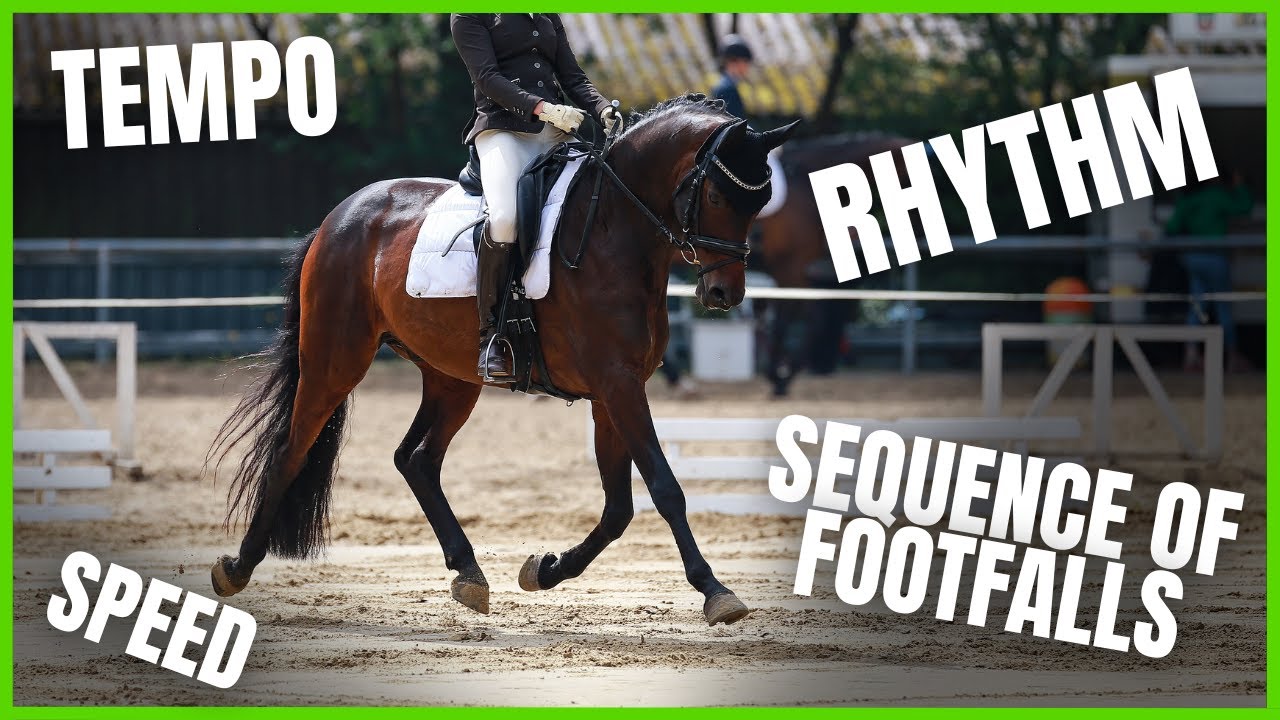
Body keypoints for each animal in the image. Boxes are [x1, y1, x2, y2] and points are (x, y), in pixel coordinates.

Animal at [207, 94, 800, 626]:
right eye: (718, 196)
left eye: (760, 201)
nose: (724, 294)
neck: (616, 232)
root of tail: (338, 217)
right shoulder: (617, 385)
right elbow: (664, 488)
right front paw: (715, 591)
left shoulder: (614, 391)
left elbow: (618, 508)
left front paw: (546, 569)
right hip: (336, 360)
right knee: (292, 449)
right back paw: (237, 567)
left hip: (451, 377)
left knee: (415, 459)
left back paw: (468, 573)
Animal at [751, 133, 917, 395]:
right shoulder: (790, 270)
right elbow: (788, 324)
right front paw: (780, 377)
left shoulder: (790, 273)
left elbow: (800, 321)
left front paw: (781, 374)